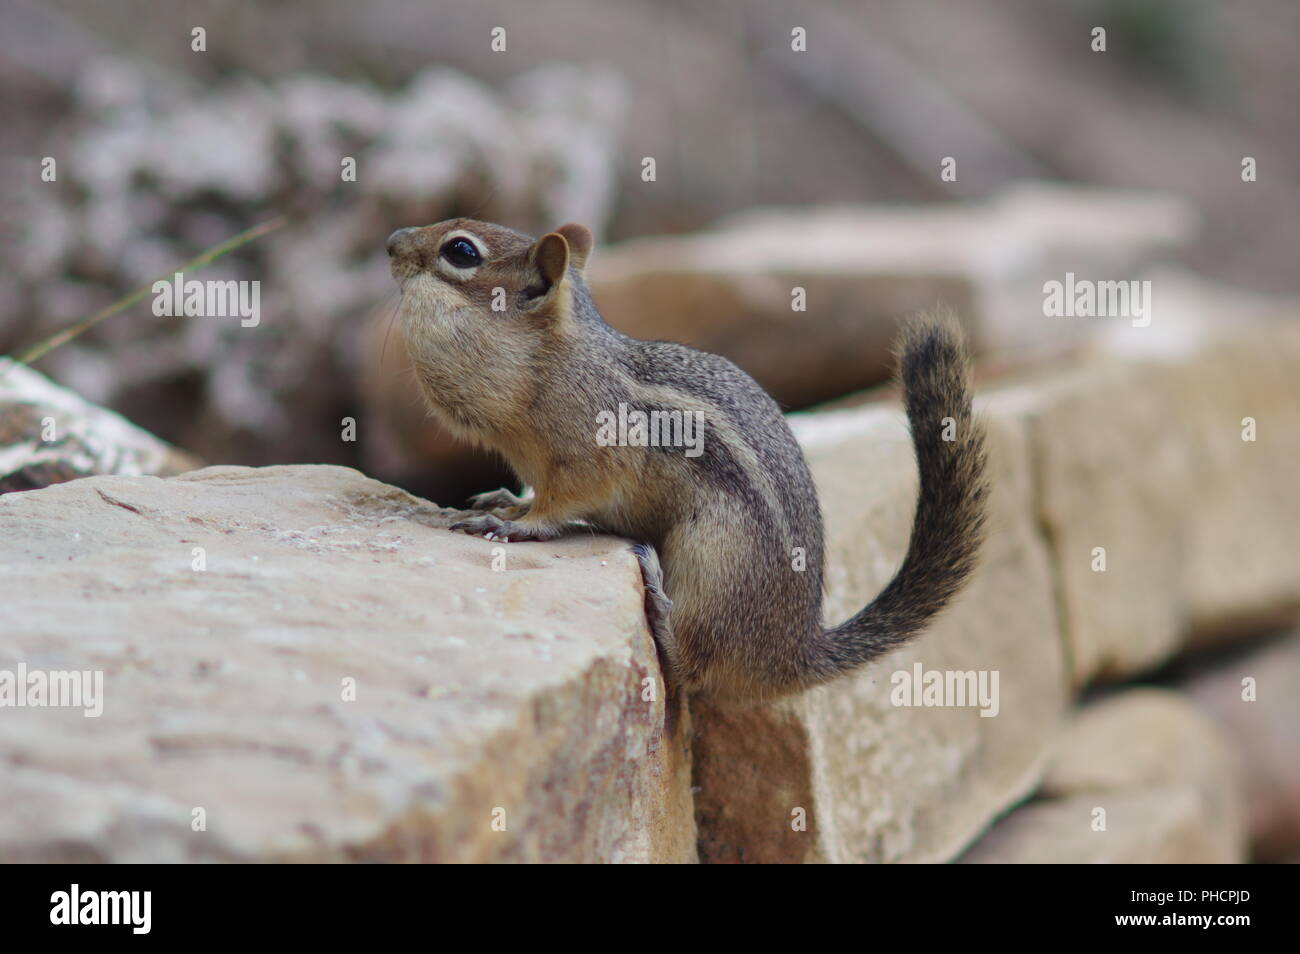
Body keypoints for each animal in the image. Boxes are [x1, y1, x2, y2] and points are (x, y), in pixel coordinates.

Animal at [387, 219, 988, 705]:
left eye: (460, 251)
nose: (392, 241)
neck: (551, 362)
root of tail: (793, 651)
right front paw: (502, 500)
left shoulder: (590, 453)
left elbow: (561, 504)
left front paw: (513, 525)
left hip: (713, 558)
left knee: (690, 669)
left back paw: (658, 604)